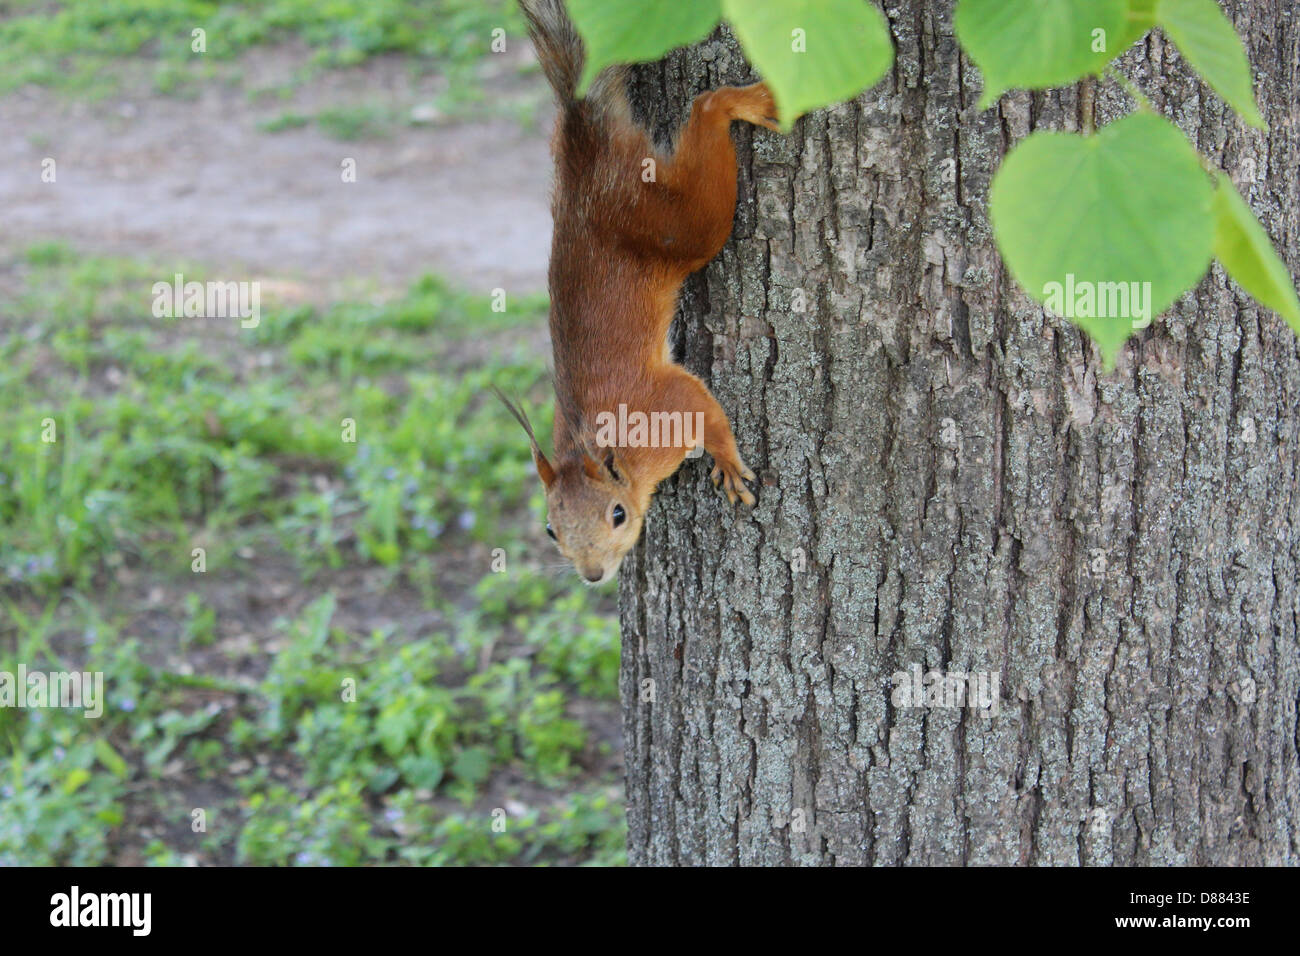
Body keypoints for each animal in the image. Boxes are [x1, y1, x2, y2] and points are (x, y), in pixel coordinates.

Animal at [504, 0, 779, 584]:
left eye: (617, 514)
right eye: (550, 530)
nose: (593, 575)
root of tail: (587, 155)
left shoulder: (663, 411)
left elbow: (702, 405)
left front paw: (727, 460)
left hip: (676, 223)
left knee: (705, 110)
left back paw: (740, 101)